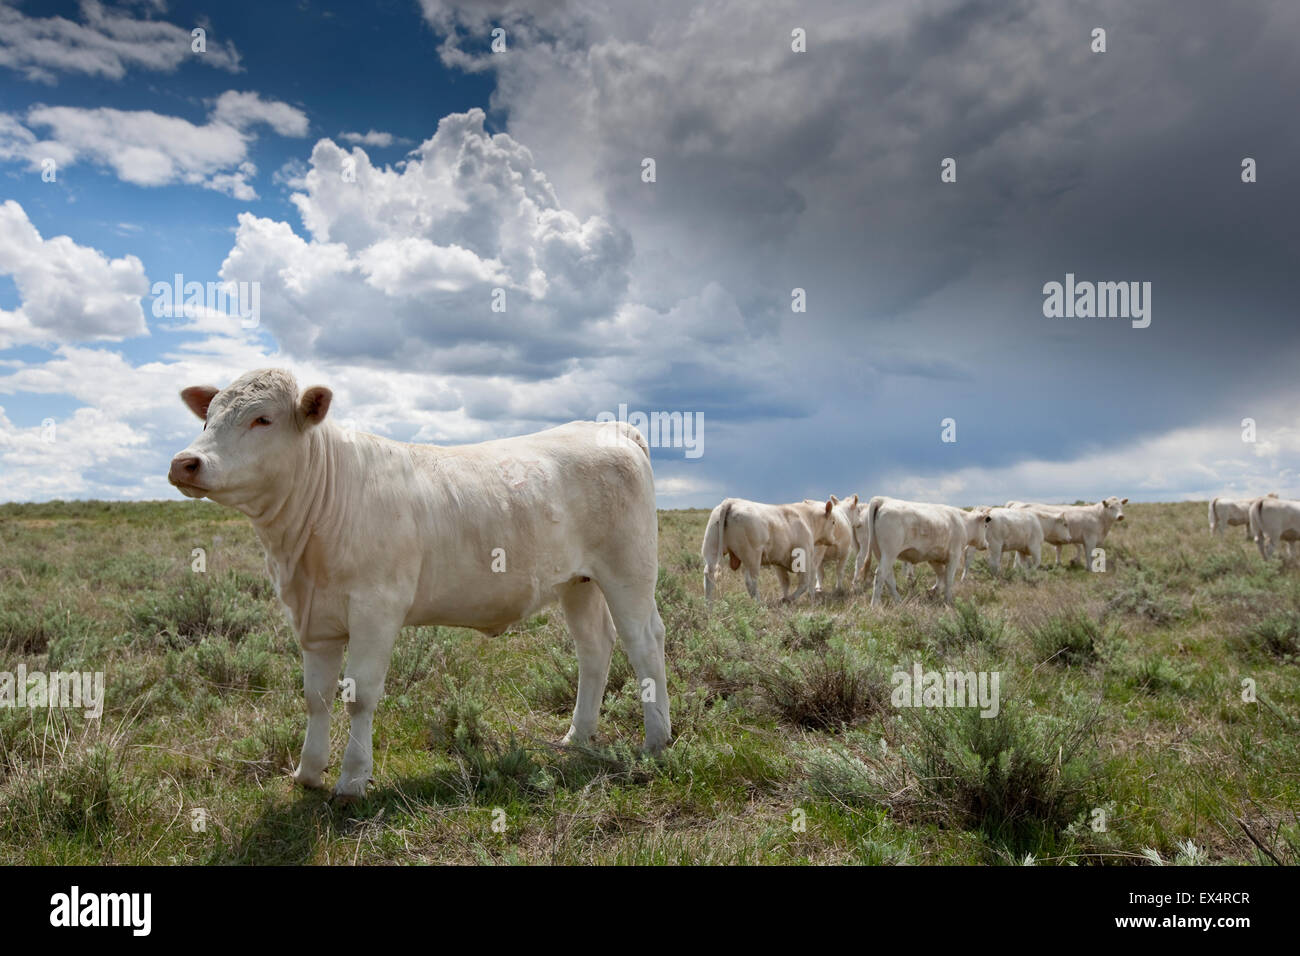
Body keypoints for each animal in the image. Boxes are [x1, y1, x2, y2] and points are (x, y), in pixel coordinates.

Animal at [168, 369, 670, 802]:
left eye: (262, 419)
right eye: (209, 417)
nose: (184, 462)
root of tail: (612, 429)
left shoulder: (376, 609)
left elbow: (359, 694)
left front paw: (352, 780)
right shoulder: (314, 620)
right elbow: (316, 697)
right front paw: (308, 772)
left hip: (629, 570)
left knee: (644, 643)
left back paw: (656, 740)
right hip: (577, 581)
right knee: (594, 647)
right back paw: (577, 737)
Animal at [701, 496, 842, 603]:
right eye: (833, 522)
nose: (834, 539)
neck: (806, 518)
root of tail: (731, 501)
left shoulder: (779, 561)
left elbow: (785, 582)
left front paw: (785, 598)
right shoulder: (804, 555)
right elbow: (804, 582)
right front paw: (789, 599)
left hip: (711, 549)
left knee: (709, 574)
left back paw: (708, 605)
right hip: (752, 557)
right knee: (751, 581)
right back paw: (759, 604)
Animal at [852, 496, 991, 605]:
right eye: (985, 525)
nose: (986, 544)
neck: (962, 522)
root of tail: (883, 500)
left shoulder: (934, 558)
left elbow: (941, 576)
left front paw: (932, 591)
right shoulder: (954, 556)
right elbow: (948, 579)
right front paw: (948, 600)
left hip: (880, 553)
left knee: (888, 577)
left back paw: (899, 601)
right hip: (889, 553)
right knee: (881, 574)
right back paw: (875, 604)